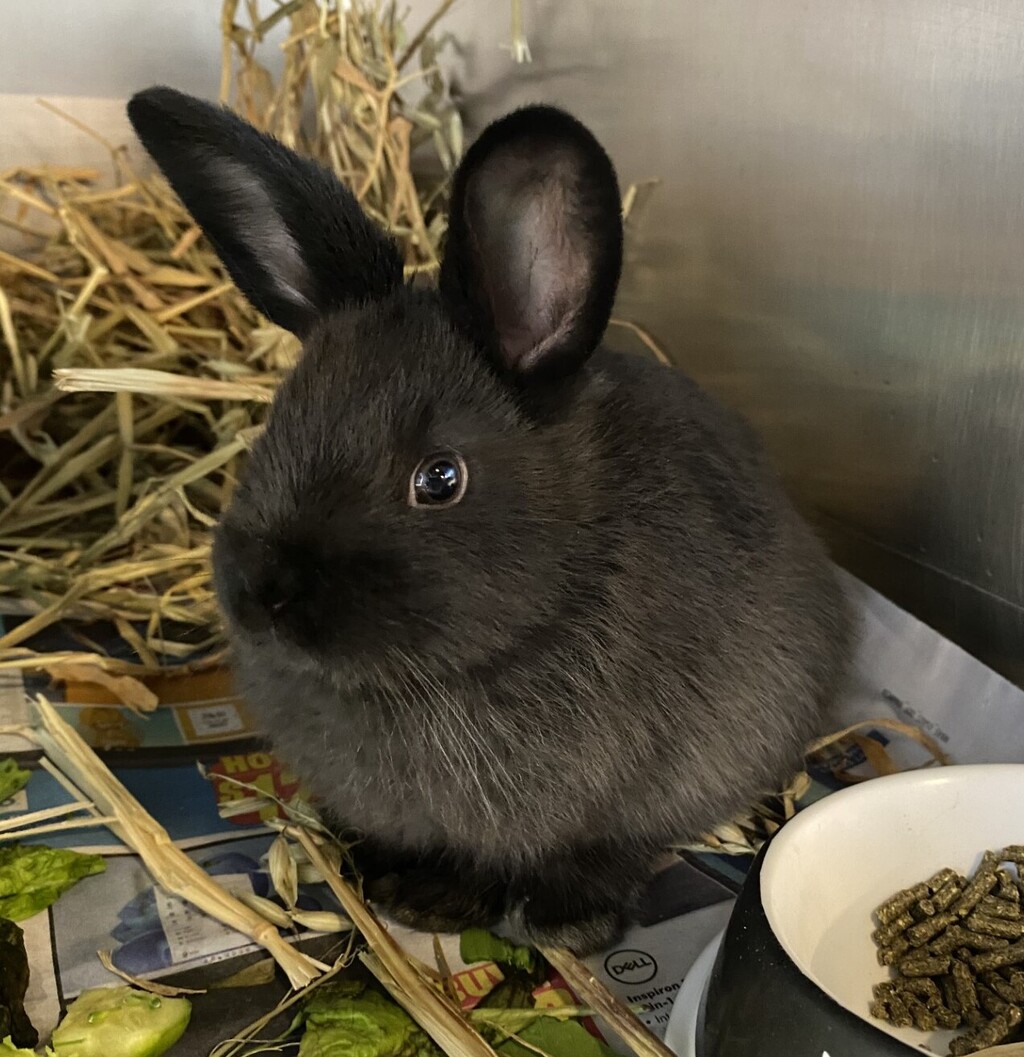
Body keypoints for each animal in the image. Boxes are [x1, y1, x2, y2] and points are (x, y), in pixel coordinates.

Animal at [127, 86, 854, 955]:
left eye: (440, 479)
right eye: (274, 425)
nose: (260, 595)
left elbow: (604, 849)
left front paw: (557, 920)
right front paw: (423, 901)